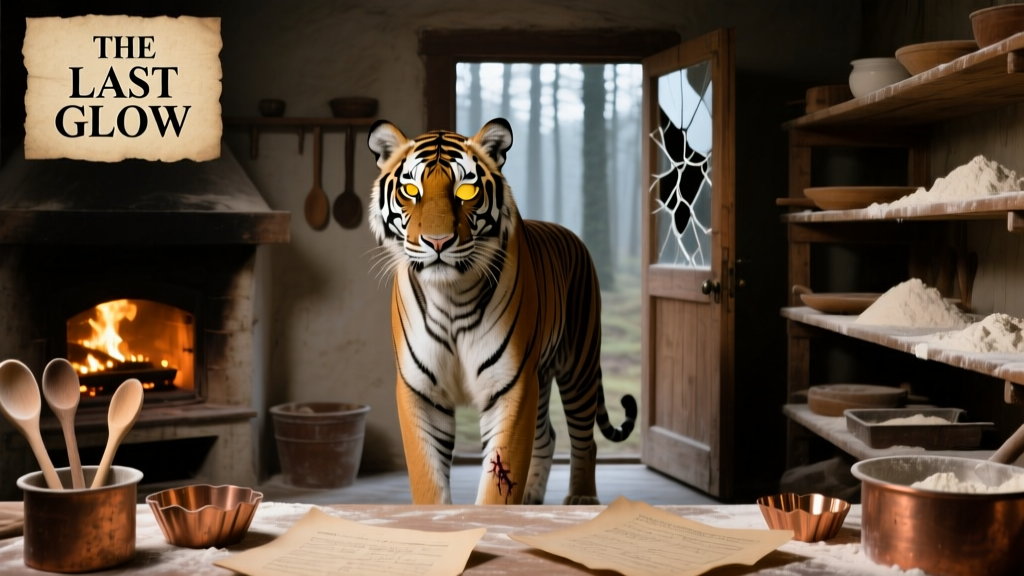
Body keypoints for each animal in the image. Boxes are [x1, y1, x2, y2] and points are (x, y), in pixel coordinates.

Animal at [366, 118, 636, 505]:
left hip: (578, 367)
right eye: (411, 190)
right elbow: (428, 477)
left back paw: (582, 498)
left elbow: (499, 479)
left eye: (466, 191)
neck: (450, 296)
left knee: (585, 440)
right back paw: (532, 499)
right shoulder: (421, 390)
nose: (437, 242)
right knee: (547, 437)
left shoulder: (512, 386)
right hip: (543, 376)